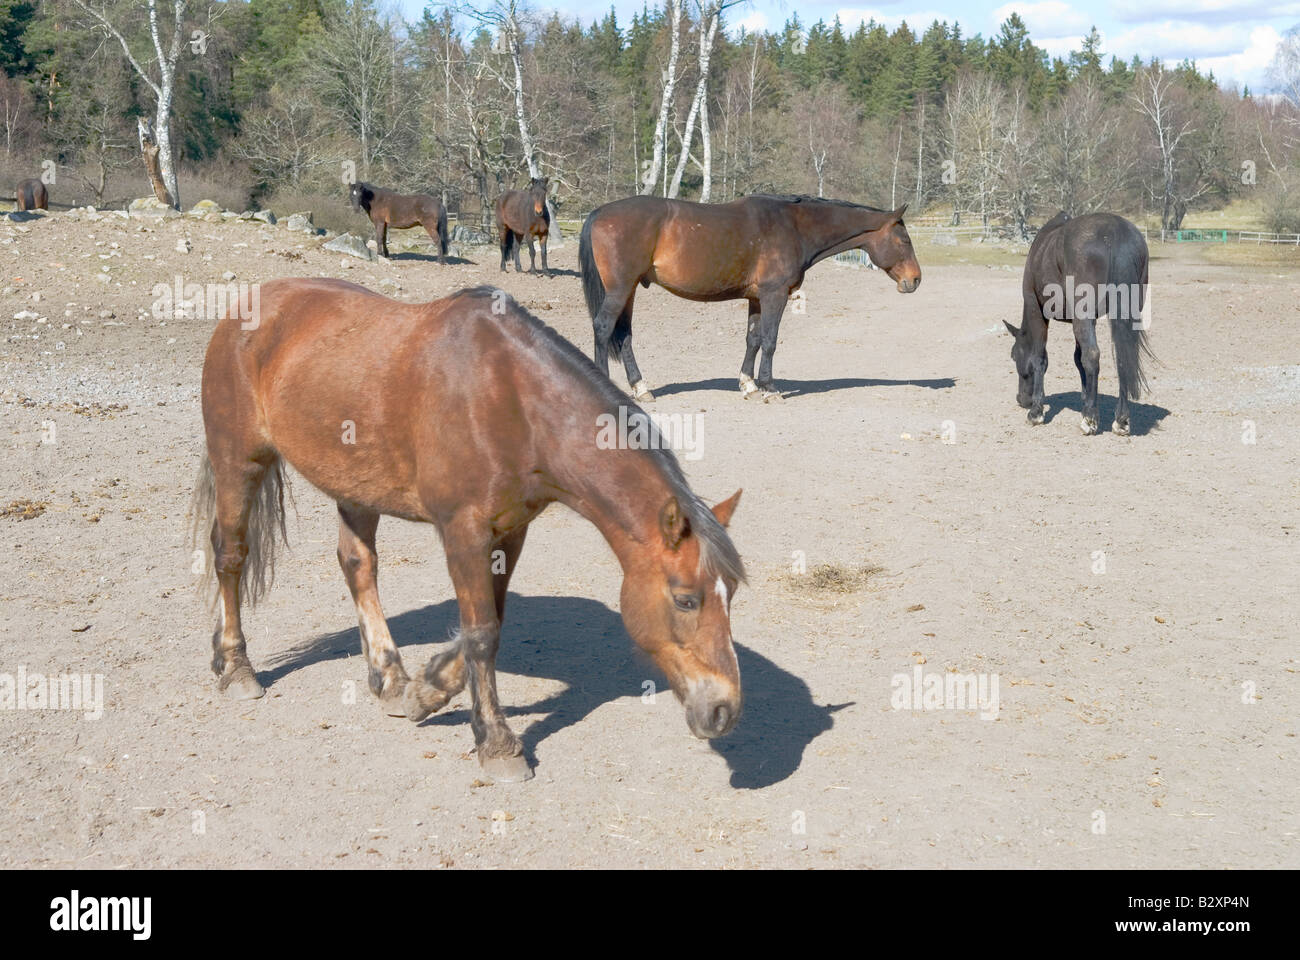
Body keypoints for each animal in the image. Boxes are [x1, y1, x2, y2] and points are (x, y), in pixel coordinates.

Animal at [190, 278, 746, 782]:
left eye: (731, 594)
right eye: (686, 600)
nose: (725, 711)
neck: (511, 398)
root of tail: (248, 306)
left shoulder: (509, 533)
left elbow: (491, 622)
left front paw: (427, 690)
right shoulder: (464, 531)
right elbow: (482, 634)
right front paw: (497, 744)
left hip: (355, 486)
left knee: (357, 564)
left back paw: (389, 678)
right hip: (238, 460)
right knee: (230, 555)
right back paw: (236, 667)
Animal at [578, 194, 922, 402]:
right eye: (904, 239)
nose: (915, 280)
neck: (793, 227)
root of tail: (598, 213)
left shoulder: (757, 298)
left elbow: (753, 339)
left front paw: (749, 385)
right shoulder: (775, 295)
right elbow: (770, 340)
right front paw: (770, 388)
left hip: (631, 289)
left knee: (624, 336)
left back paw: (641, 389)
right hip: (620, 289)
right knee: (603, 328)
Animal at [1005, 211, 1154, 436]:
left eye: (1014, 355)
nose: (1022, 399)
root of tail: (1115, 231)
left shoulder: (1036, 309)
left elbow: (1040, 358)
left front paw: (1036, 412)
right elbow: (1078, 359)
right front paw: (1086, 398)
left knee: (1092, 355)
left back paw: (1090, 420)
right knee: (1123, 358)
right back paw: (1120, 420)